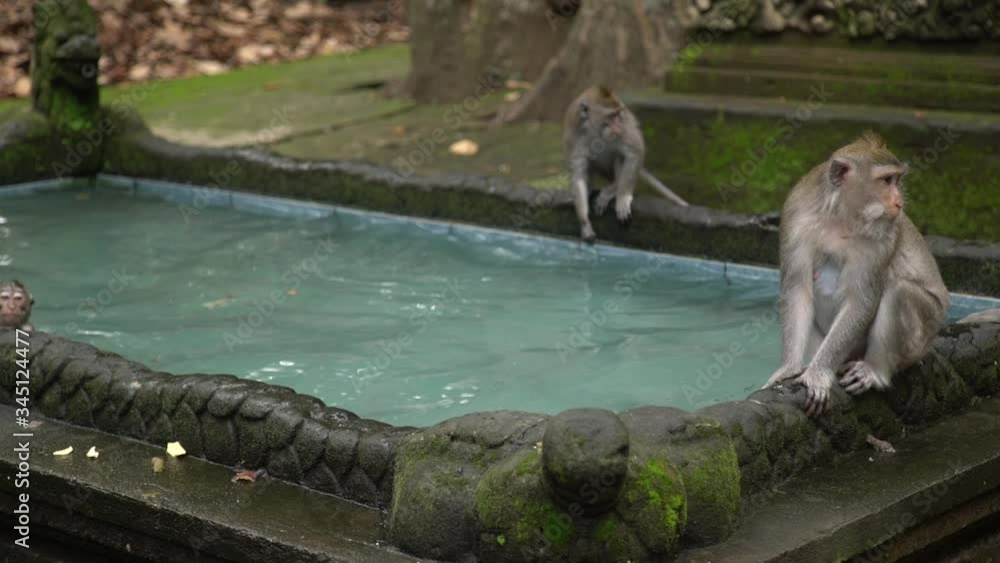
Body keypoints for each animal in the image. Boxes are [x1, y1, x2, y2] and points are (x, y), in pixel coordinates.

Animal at [564, 85, 689, 243]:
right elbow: (578, 176)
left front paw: (622, 198)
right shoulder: (574, 138)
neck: (594, 133)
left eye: (618, 114)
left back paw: (613, 188)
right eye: (612, 116)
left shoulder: (622, 133)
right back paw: (589, 189)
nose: (619, 125)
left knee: (620, 156)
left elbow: (634, 152)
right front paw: (585, 224)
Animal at [763, 132, 949, 416]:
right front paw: (790, 368)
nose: (899, 202)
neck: (840, 215)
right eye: (887, 180)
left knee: (900, 292)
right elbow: (797, 290)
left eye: (896, 180)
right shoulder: (796, 217)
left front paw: (818, 374)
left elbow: (861, 300)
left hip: (921, 339)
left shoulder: (883, 234)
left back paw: (874, 371)